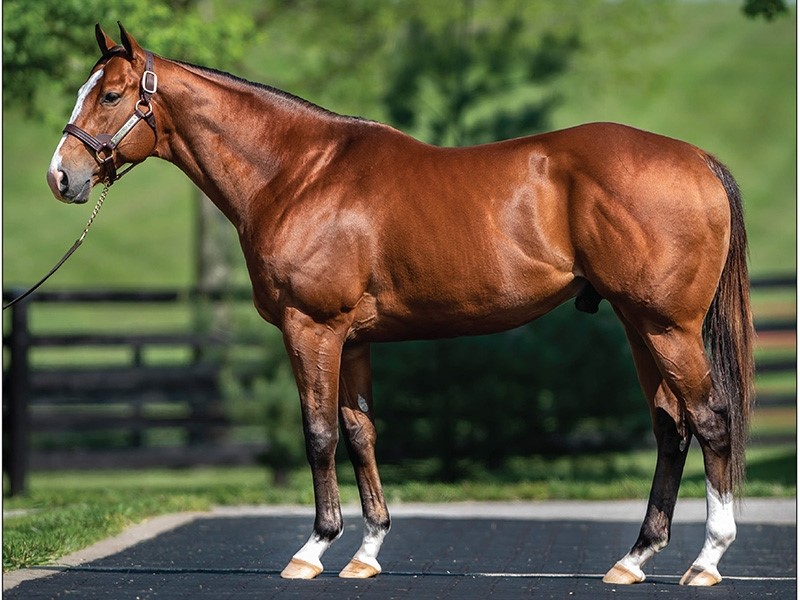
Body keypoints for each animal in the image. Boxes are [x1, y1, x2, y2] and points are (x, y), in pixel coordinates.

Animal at [47, 24, 754, 587]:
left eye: (111, 95)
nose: (61, 176)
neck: (297, 173)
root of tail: (700, 161)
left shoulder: (312, 329)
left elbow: (320, 433)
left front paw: (313, 549)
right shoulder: (353, 339)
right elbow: (361, 433)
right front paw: (366, 551)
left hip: (667, 327)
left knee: (711, 420)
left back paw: (706, 561)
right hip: (640, 327)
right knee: (671, 427)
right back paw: (633, 559)